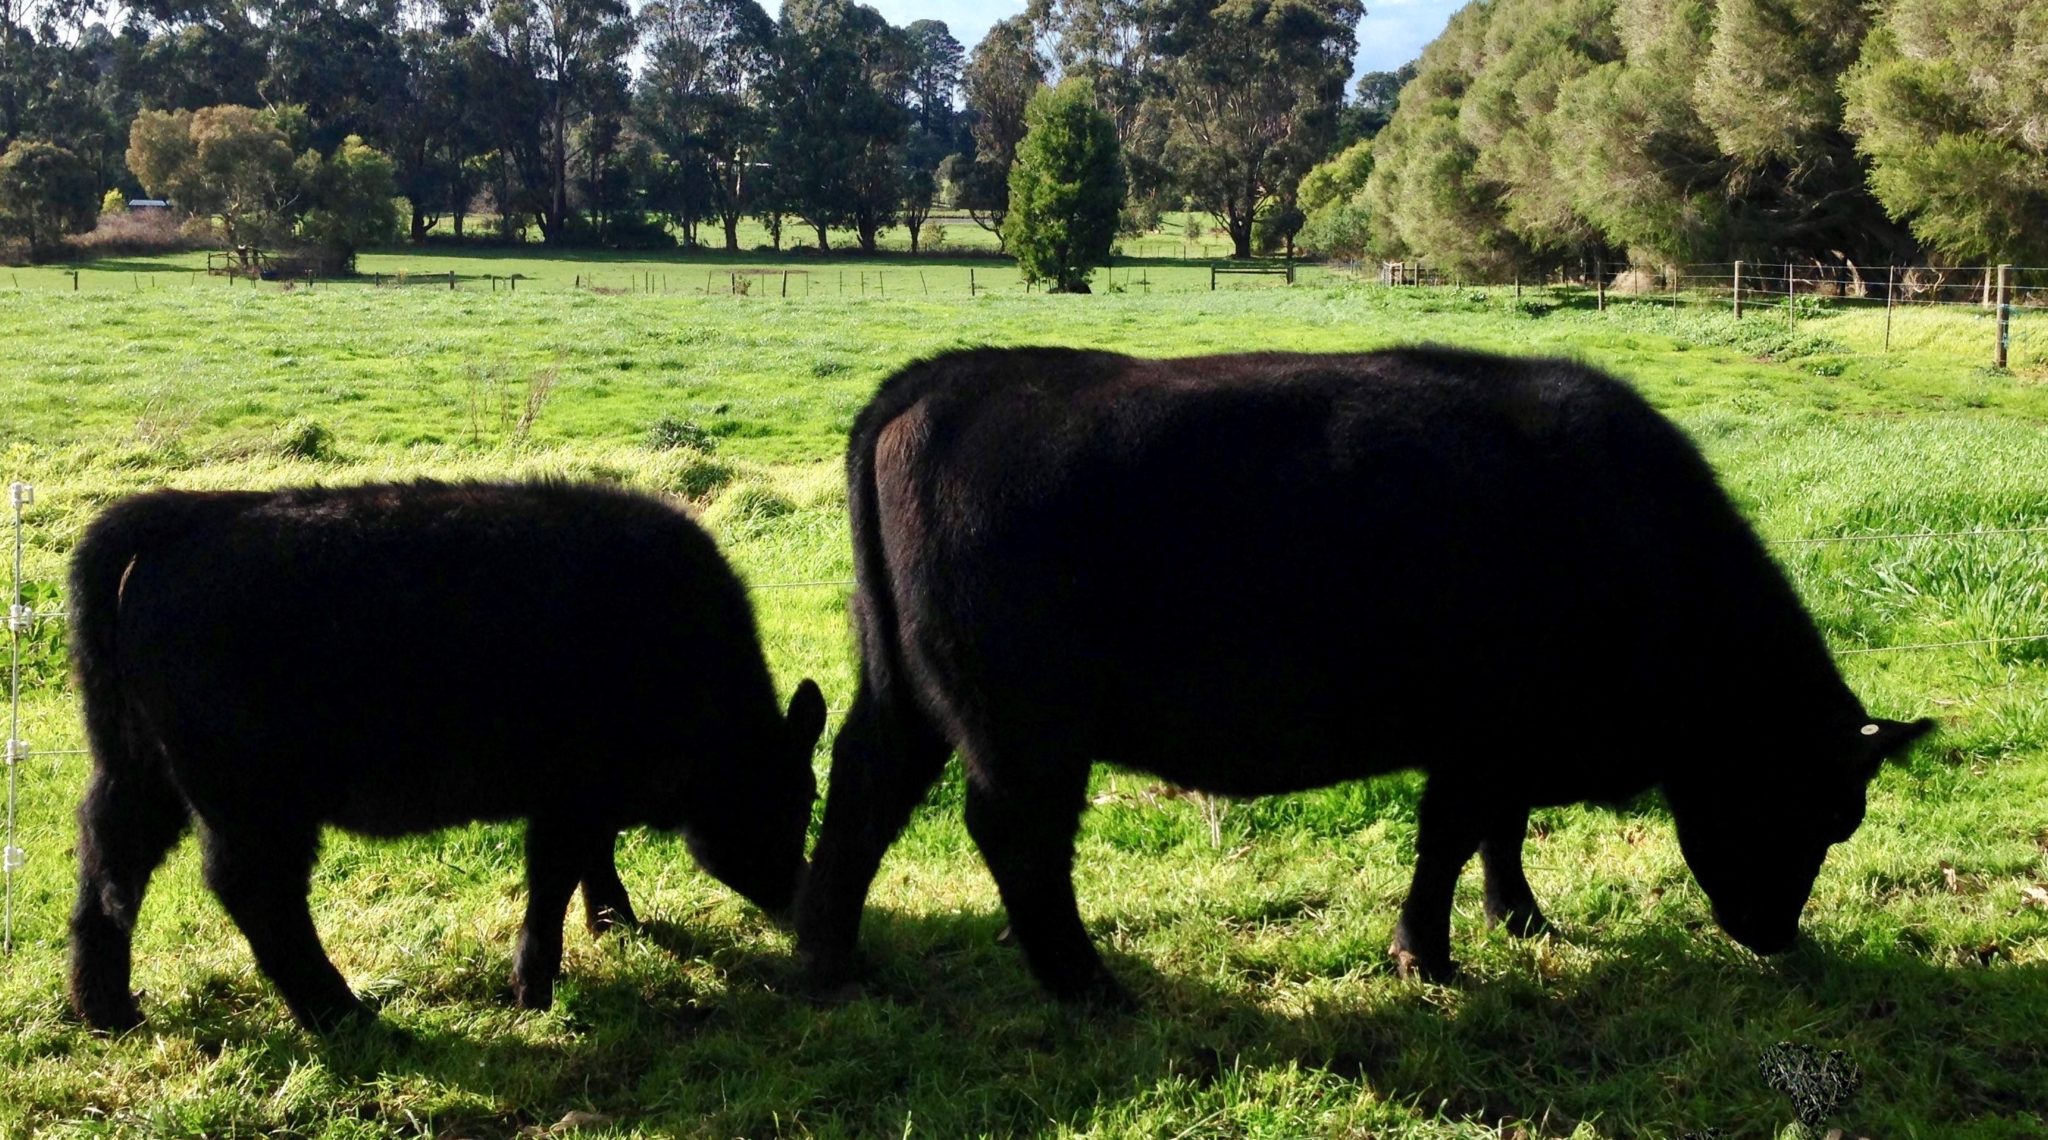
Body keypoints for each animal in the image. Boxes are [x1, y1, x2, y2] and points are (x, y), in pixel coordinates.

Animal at [67, 481, 826, 1032]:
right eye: (783, 799)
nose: (799, 897)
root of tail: (185, 515)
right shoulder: (568, 794)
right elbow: (555, 877)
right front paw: (534, 987)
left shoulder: (586, 795)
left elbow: (593, 858)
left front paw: (616, 923)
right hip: (253, 803)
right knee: (256, 893)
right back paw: (344, 1016)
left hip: (139, 773)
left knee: (109, 866)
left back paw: (109, 1011)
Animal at [796, 346, 1934, 1007]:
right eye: (1804, 807)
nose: (1776, 936)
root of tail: (943, 381)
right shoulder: (1480, 737)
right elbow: (1450, 837)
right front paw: (1426, 954)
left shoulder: (1506, 742)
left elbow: (1502, 831)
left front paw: (1519, 917)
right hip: (1025, 724)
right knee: (1015, 834)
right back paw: (1083, 983)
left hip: (905, 692)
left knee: (860, 796)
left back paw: (831, 963)